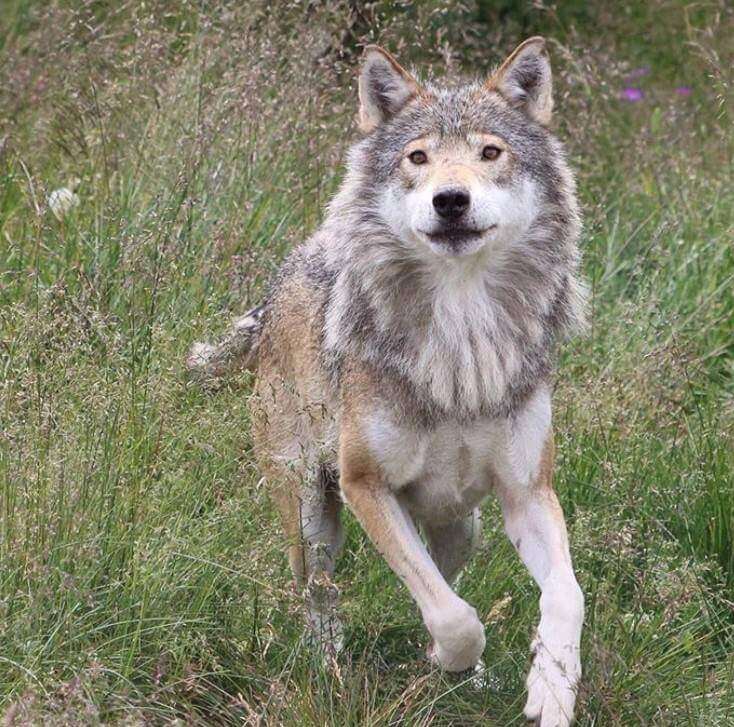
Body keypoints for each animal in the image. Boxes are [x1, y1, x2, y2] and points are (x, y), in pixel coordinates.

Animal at [188, 37, 587, 726]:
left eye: (490, 152)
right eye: (417, 157)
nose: (449, 199)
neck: (461, 338)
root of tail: (289, 268)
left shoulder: (528, 492)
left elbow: (565, 597)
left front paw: (551, 687)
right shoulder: (365, 485)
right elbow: (456, 620)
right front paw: (448, 659)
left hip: (465, 525)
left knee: (444, 572)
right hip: (310, 514)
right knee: (320, 593)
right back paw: (329, 667)